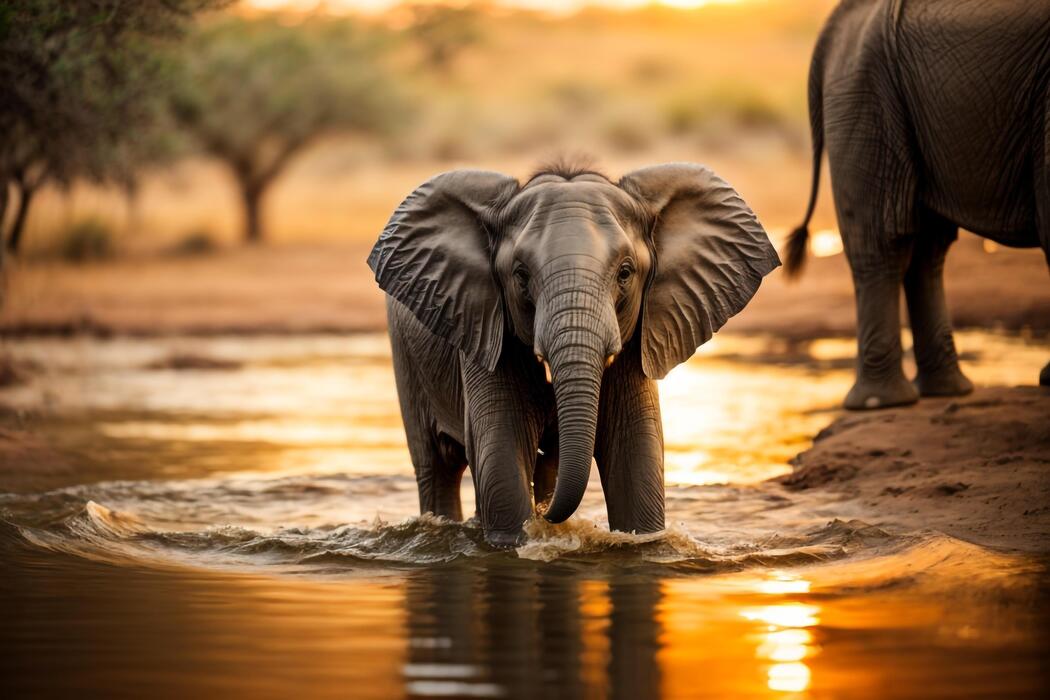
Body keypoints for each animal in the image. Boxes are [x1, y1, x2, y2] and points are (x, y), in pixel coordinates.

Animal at [368, 162, 779, 545]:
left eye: (625, 273)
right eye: (520, 275)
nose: (549, 517)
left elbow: (636, 455)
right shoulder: (485, 328)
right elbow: (501, 452)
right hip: (406, 358)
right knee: (435, 466)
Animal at [785, 0, 1050, 409]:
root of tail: (839, 17)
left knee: (927, 248)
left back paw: (947, 391)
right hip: (868, 99)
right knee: (883, 243)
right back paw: (882, 403)